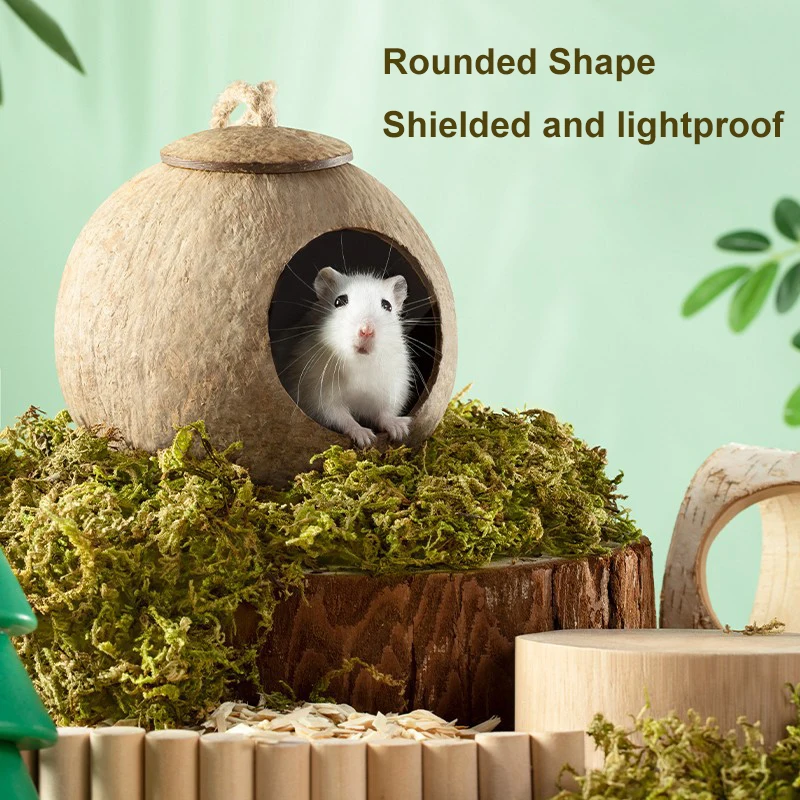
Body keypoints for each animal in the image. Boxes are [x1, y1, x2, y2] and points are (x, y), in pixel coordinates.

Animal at [281, 267, 414, 448]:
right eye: (339, 301)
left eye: (387, 305)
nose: (366, 330)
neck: (359, 361)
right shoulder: (320, 396)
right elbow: (341, 417)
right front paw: (365, 438)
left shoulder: (392, 388)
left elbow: (385, 413)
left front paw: (400, 430)